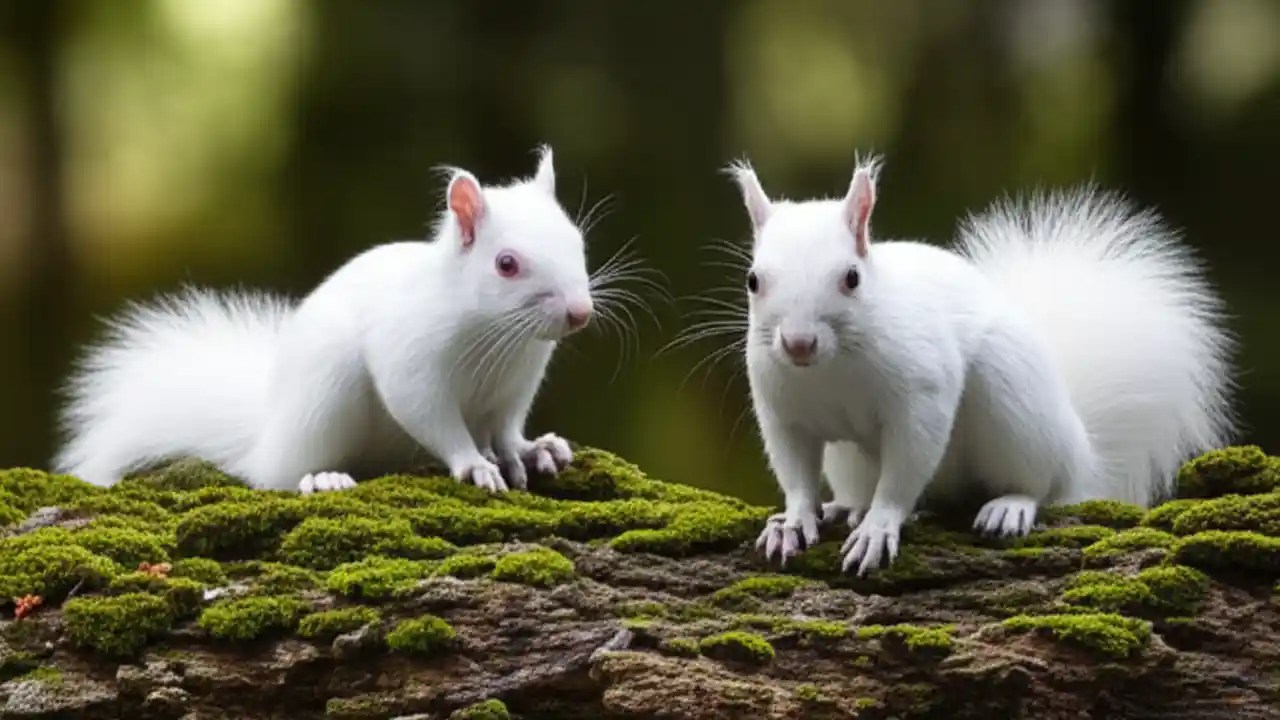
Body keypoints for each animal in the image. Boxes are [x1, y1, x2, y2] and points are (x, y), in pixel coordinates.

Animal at [54, 146, 598, 495]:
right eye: (506, 264)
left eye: (577, 241)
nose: (580, 313)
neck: (497, 336)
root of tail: (266, 437)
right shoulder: (410, 363)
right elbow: (435, 419)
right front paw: (473, 465)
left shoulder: (516, 385)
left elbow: (506, 428)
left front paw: (529, 449)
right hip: (326, 401)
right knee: (275, 478)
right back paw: (322, 477)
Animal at [727, 155, 1237, 575]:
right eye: (753, 280)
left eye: (851, 278)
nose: (798, 344)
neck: (831, 368)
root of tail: (1083, 453)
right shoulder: (781, 411)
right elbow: (795, 472)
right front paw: (794, 521)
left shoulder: (922, 396)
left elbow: (904, 470)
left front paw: (877, 528)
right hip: (850, 459)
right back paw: (844, 507)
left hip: (1014, 405)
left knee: (1043, 484)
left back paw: (1010, 505)